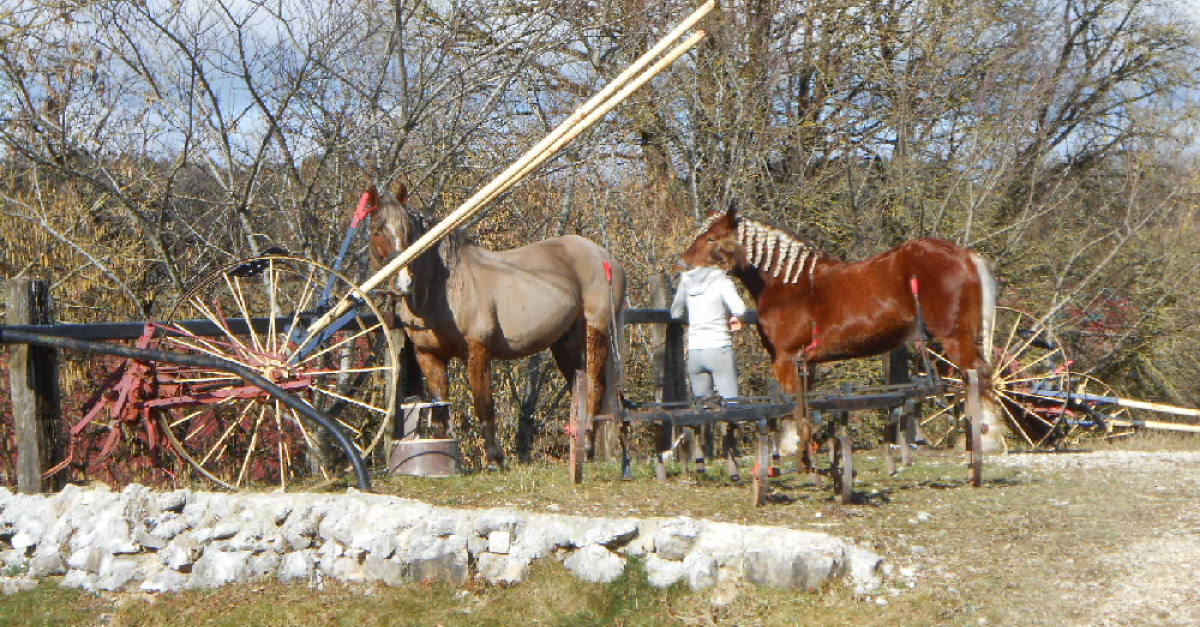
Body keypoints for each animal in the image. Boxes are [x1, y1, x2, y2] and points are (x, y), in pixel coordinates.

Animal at [366, 184, 626, 468]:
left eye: (409, 230)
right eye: (377, 230)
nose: (404, 282)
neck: (445, 288)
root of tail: (603, 256)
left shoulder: (478, 349)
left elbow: (483, 403)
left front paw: (494, 459)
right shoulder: (429, 356)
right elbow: (440, 409)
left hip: (597, 331)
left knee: (595, 386)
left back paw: (588, 448)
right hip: (565, 344)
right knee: (579, 387)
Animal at [676, 208, 1002, 465]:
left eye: (712, 238)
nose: (682, 264)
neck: (789, 285)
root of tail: (966, 256)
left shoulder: (785, 358)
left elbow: (791, 401)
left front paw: (793, 446)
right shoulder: (805, 362)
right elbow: (803, 399)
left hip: (955, 338)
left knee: (978, 378)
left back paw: (984, 439)